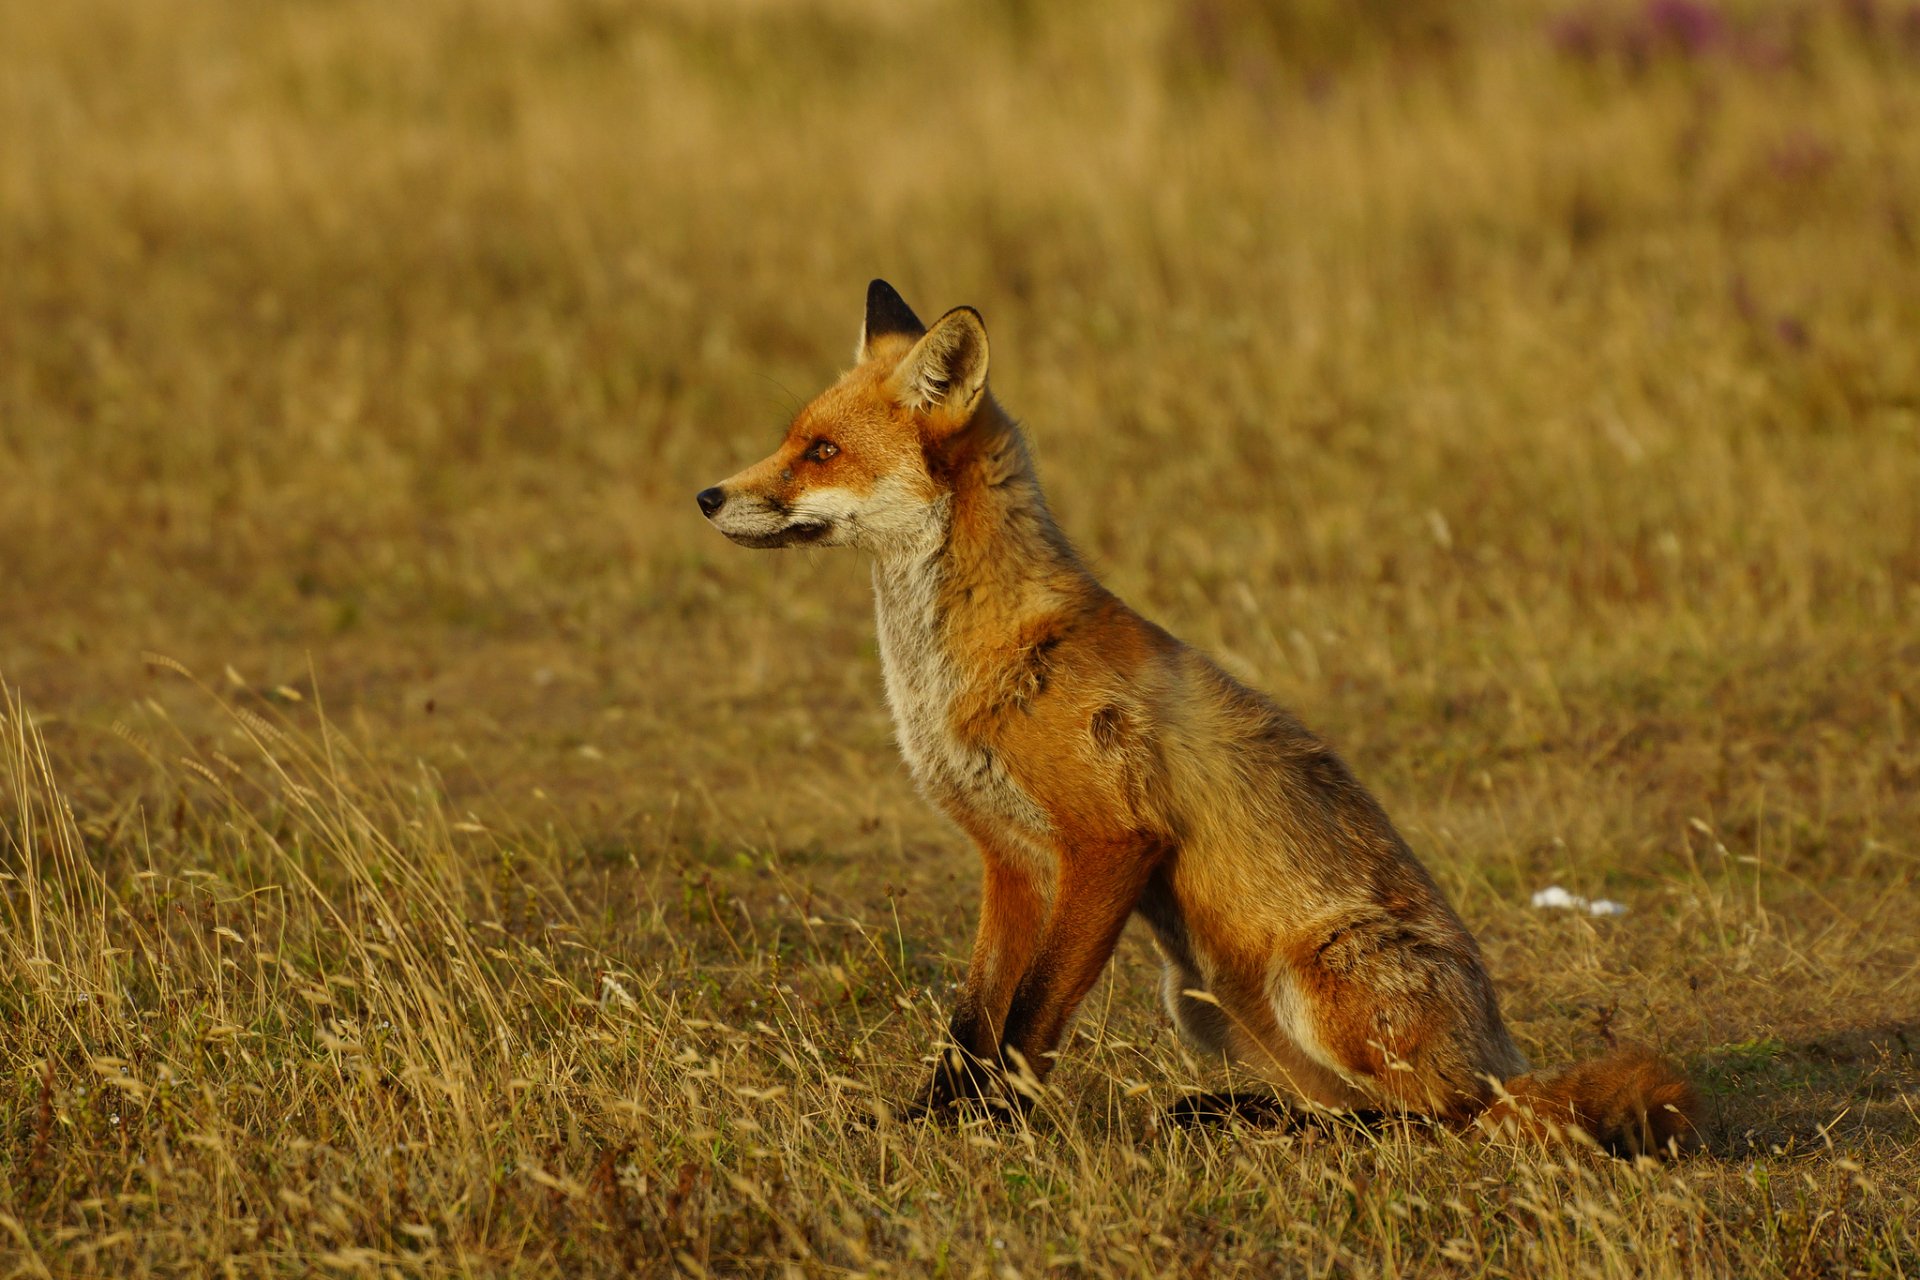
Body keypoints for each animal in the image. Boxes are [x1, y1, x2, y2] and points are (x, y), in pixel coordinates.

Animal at [696, 280, 1699, 1157]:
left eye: (822, 452)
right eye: (793, 439)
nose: (706, 496)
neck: (955, 669)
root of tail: (1502, 1061)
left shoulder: (1110, 843)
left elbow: (1028, 1021)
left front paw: (999, 1129)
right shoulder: (1008, 858)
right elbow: (971, 1021)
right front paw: (930, 1125)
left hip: (1318, 978)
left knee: (1442, 1119)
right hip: (1202, 999)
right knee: (1344, 1104)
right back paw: (1242, 1117)